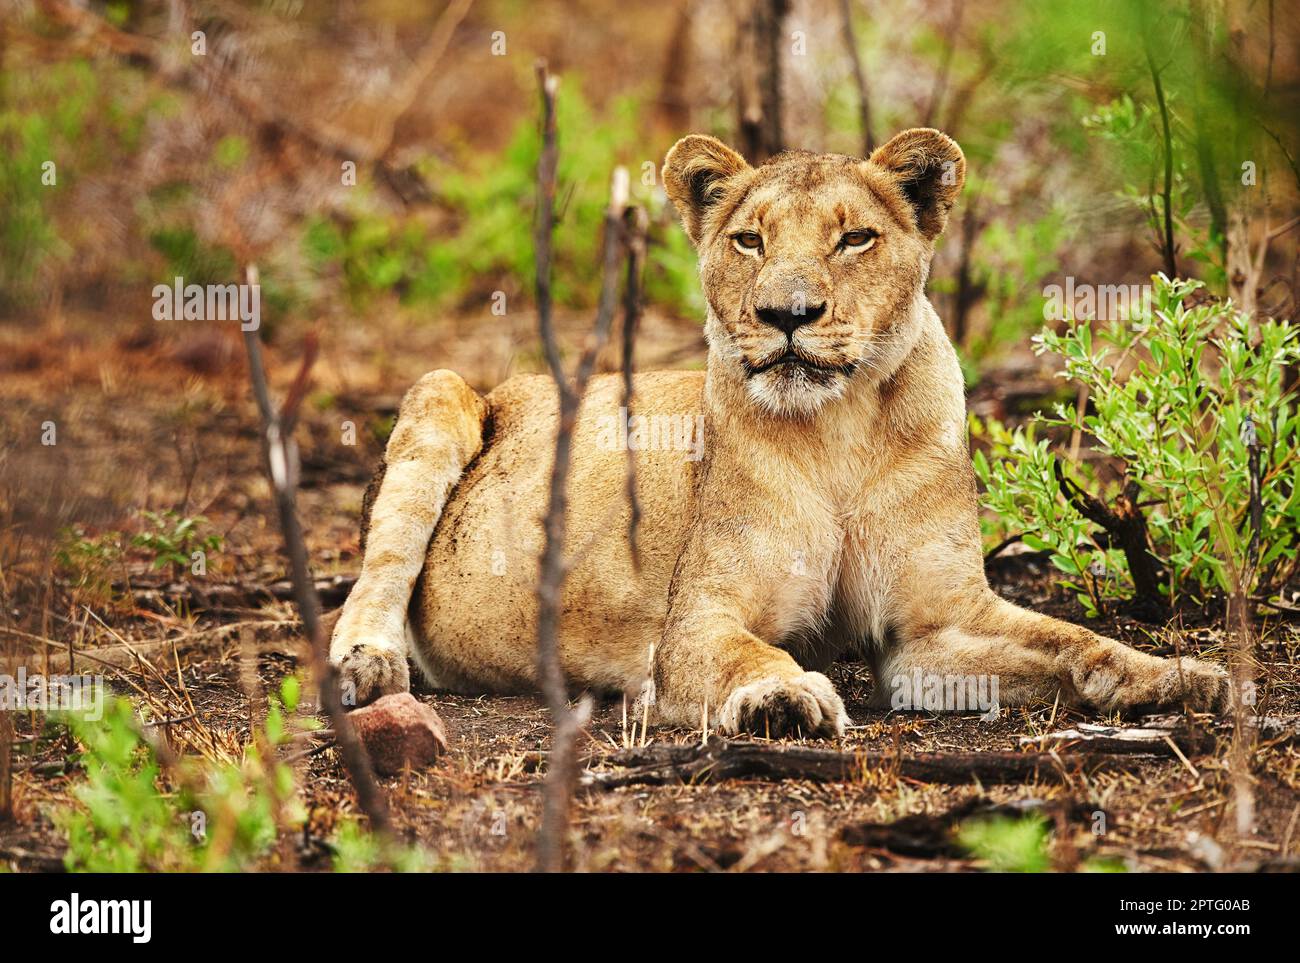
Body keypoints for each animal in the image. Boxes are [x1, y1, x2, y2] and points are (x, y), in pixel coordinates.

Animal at [327, 127, 1226, 737]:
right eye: (749, 239)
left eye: (855, 237)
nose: (786, 314)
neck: (841, 430)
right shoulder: (696, 622)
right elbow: (747, 653)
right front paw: (782, 697)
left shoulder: (932, 632)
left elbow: (1076, 641)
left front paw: (1181, 675)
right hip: (443, 389)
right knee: (376, 576)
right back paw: (367, 664)